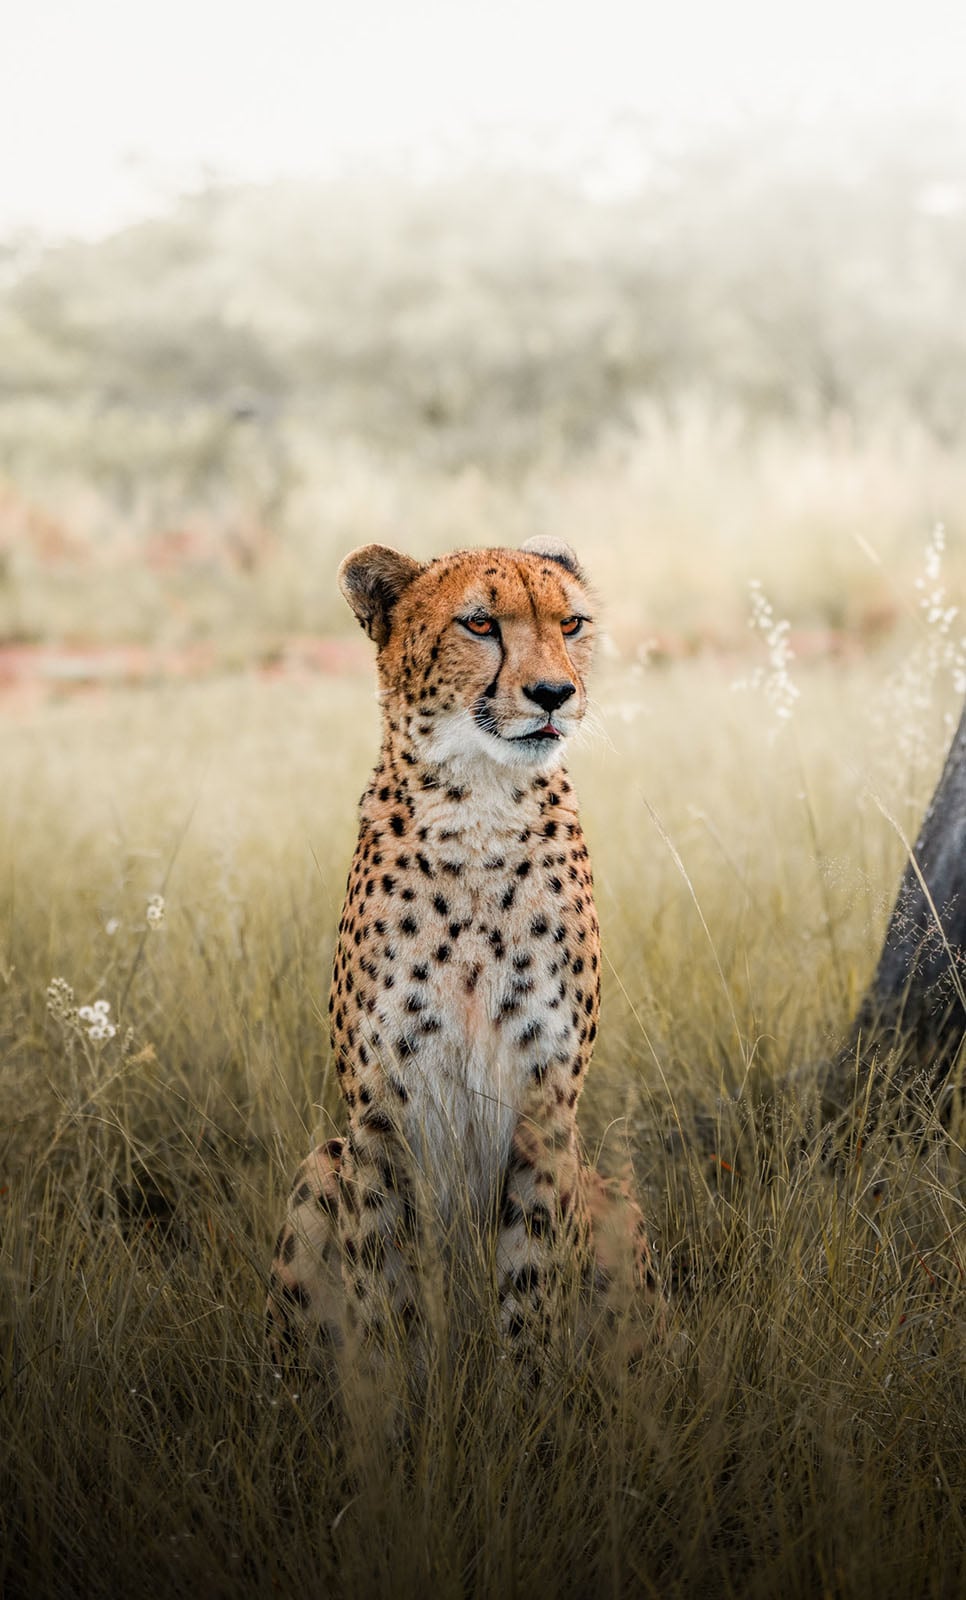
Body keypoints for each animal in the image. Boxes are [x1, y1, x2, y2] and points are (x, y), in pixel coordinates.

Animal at [265, 536, 660, 1362]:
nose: (554, 693)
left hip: (609, 1195)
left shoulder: (548, 1113)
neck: (480, 805)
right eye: (480, 623)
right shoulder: (378, 1123)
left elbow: (531, 1299)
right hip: (325, 1161)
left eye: (571, 623)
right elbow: (381, 1308)